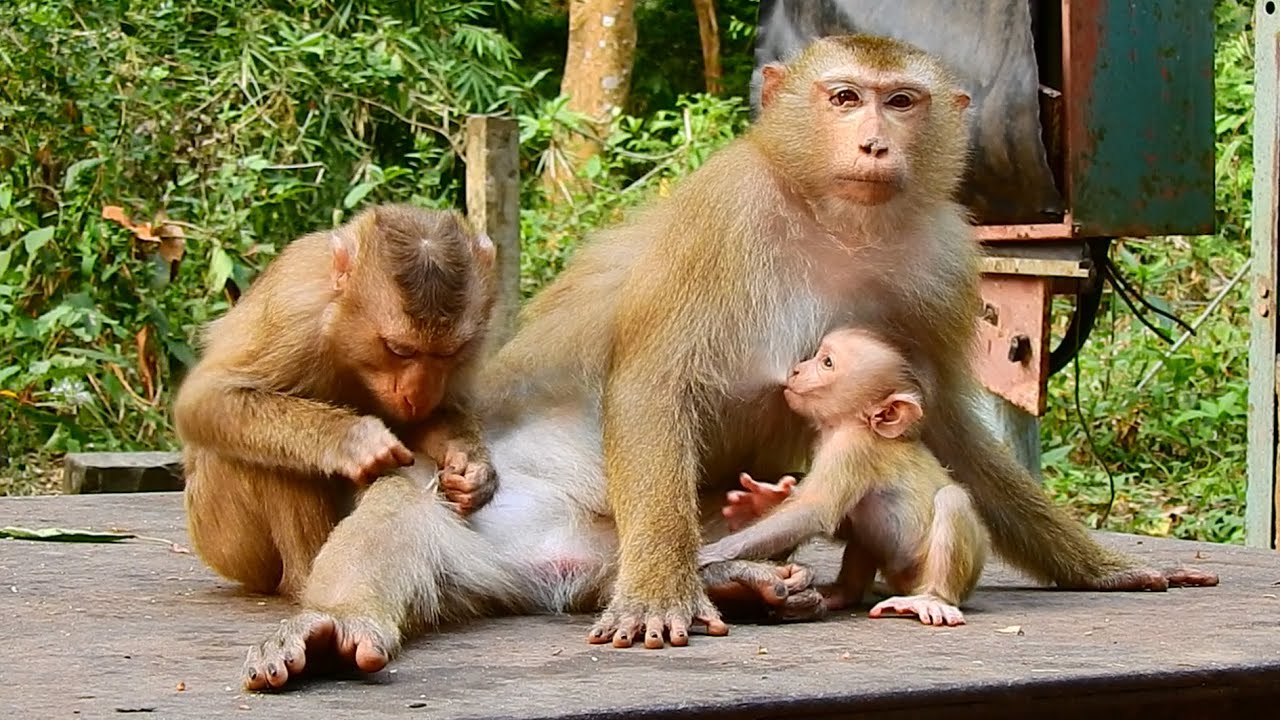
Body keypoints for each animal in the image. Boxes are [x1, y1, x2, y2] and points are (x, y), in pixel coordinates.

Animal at [174, 203, 499, 598]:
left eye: (448, 354)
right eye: (399, 349)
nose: (416, 393)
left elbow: (433, 418)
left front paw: (473, 471)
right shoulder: (294, 312)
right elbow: (204, 399)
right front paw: (354, 441)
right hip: (225, 542)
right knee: (266, 457)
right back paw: (308, 578)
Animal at [700, 327, 988, 627]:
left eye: (827, 363)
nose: (796, 370)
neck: (852, 424)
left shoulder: (851, 448)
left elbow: (814, 512)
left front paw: (713, 552)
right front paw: (763, 500)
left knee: (951, 499)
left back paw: (932, 599)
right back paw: (842, 592)